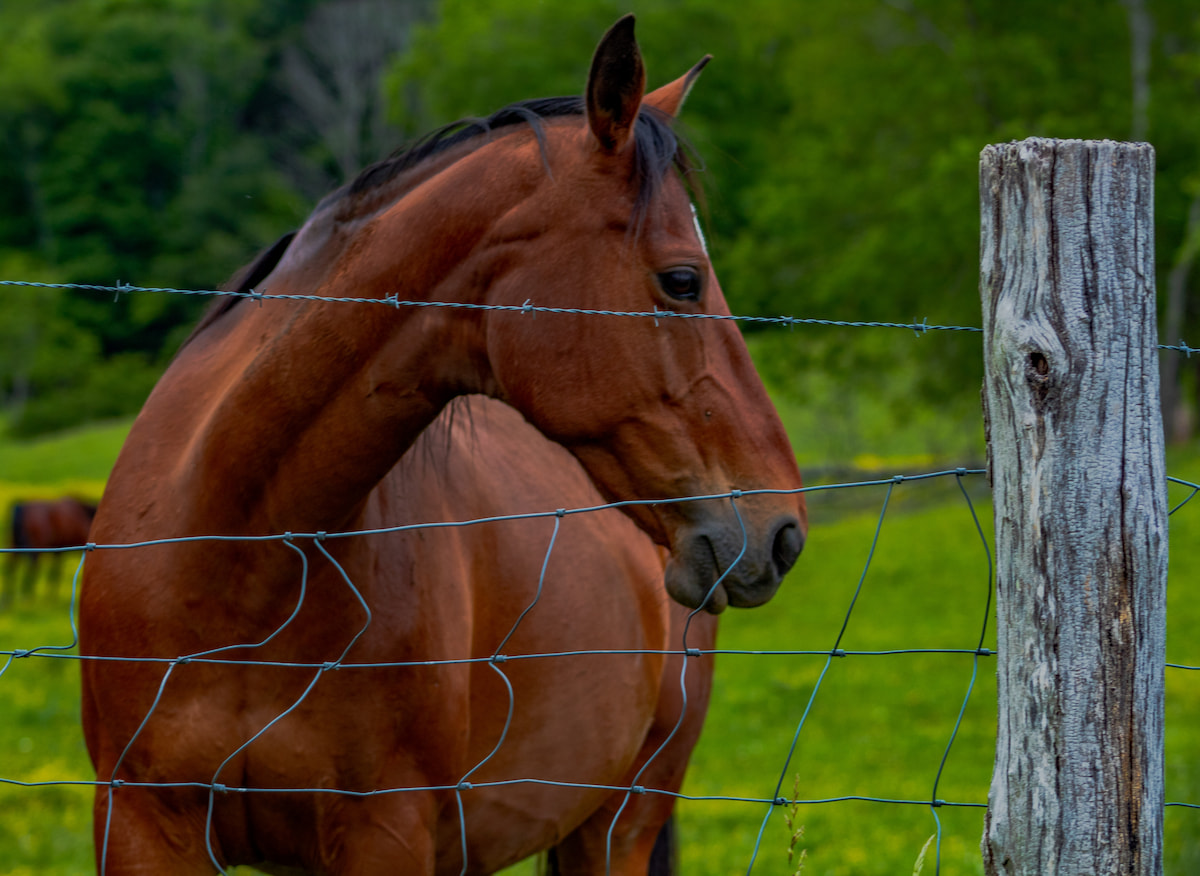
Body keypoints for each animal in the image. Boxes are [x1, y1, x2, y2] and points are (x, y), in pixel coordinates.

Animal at [79, 15, 806, 875]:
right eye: (683, 280)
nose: (782, 530)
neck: (239, 557)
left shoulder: (385, 830)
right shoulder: (140, 820)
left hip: (618, 824)